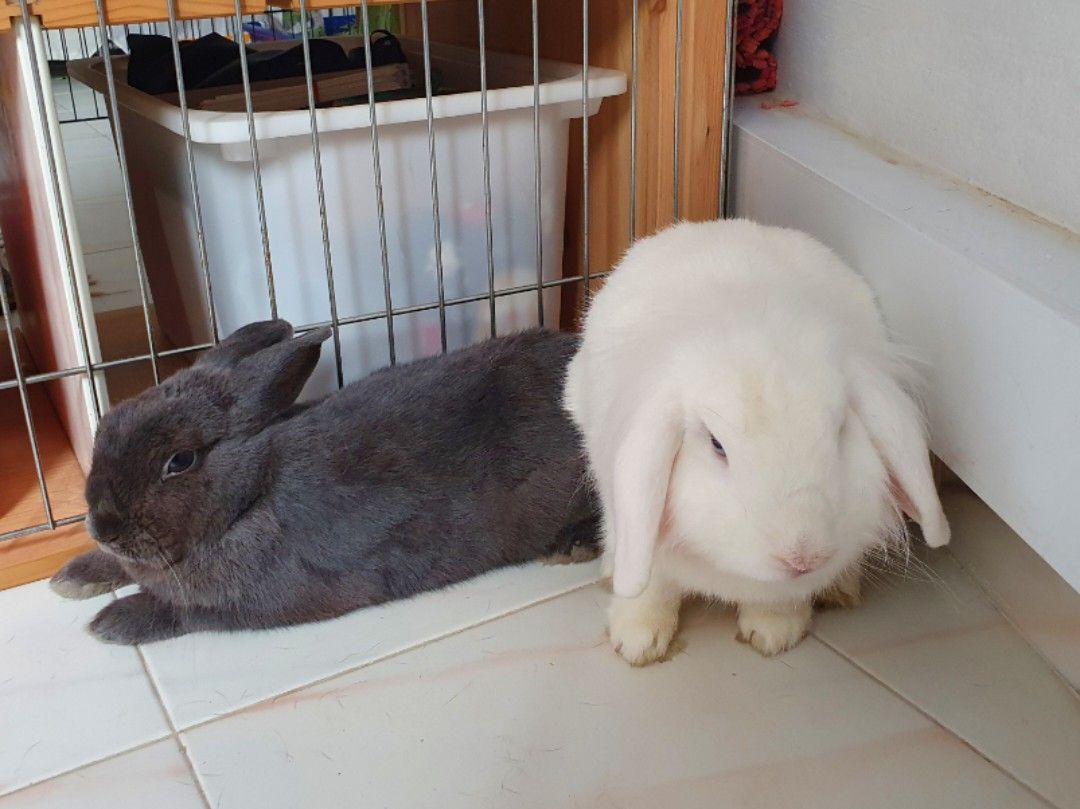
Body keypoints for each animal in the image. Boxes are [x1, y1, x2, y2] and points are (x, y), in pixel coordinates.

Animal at [50, 321, 599, 645]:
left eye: (179, 461)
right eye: (109, 422)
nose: (102, 526)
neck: (250, 496)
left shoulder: (262, 601)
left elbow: (185, 614)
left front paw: (110, 624)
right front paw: (72, 577)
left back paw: (572, 546)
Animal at [563, 219, 950, 664]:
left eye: (840, 430)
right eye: (717, 445)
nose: (804, 557)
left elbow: (777, 599)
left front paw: (773, 632)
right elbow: (652, 583)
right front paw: (637, 640)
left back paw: (841, 586)